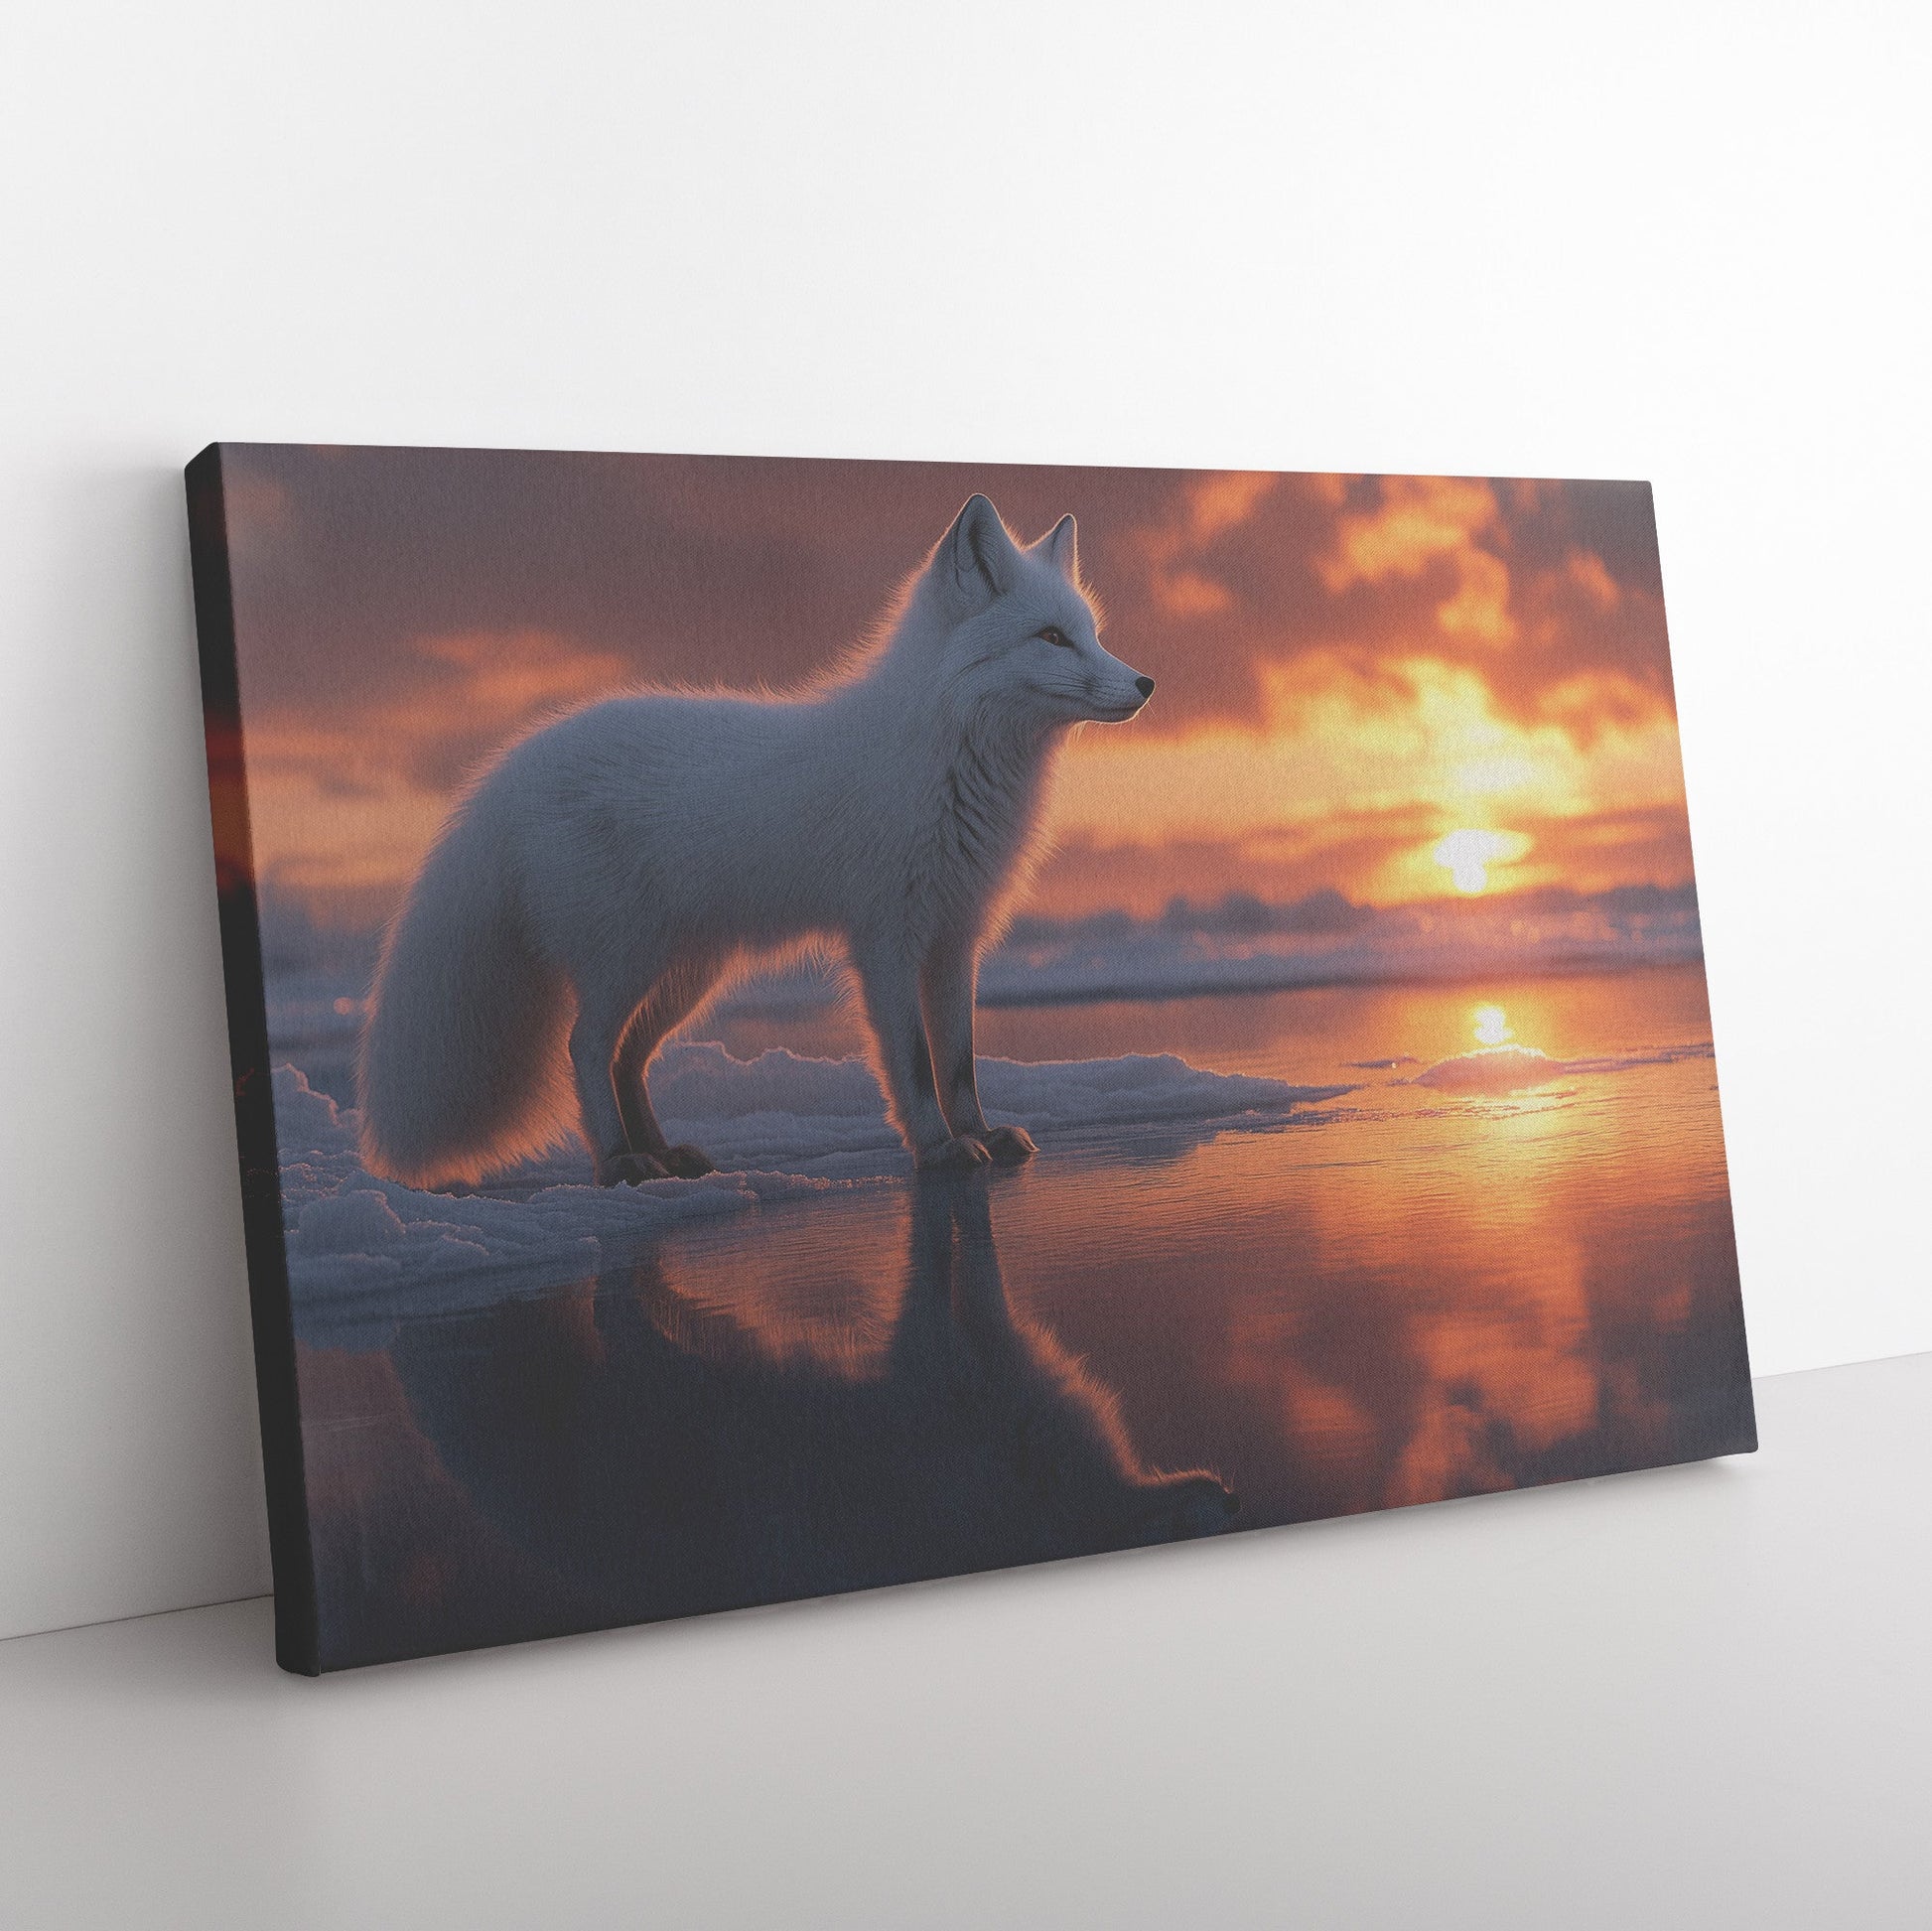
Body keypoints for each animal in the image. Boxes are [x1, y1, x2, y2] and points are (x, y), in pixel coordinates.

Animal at [356, 494, 1155, 1189]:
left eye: (1091, 633)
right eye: (1050, 637)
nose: (1146, 682)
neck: (945, 758)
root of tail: (512, 768)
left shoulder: (957, 937)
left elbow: (960, 1064)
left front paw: (981, 1134)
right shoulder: (886, 939)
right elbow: (914, 1063)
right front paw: (938, 1148)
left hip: (686, 973)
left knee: (625, 1059)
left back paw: (663, 1152)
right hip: (628, 959)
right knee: (583, 1048)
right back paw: (619, 1162)